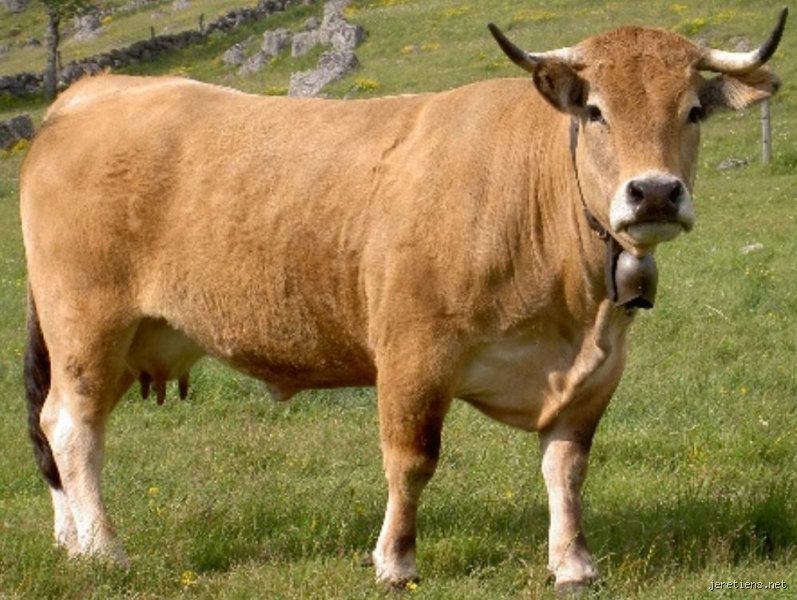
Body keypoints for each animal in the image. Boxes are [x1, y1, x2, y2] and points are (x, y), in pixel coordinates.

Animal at [20, 7, 786, 592]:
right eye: (595, 111)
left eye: (693, 110)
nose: (653, 193)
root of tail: (93, 92)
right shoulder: (413, 353)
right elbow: (411, 459)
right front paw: (395, 561)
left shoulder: (593, 376)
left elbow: (565, 470)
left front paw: (572, 563)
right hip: (86, 323)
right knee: (72, 426)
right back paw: (104, 550)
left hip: (130, 336)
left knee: (57, 428)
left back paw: (70, 542)